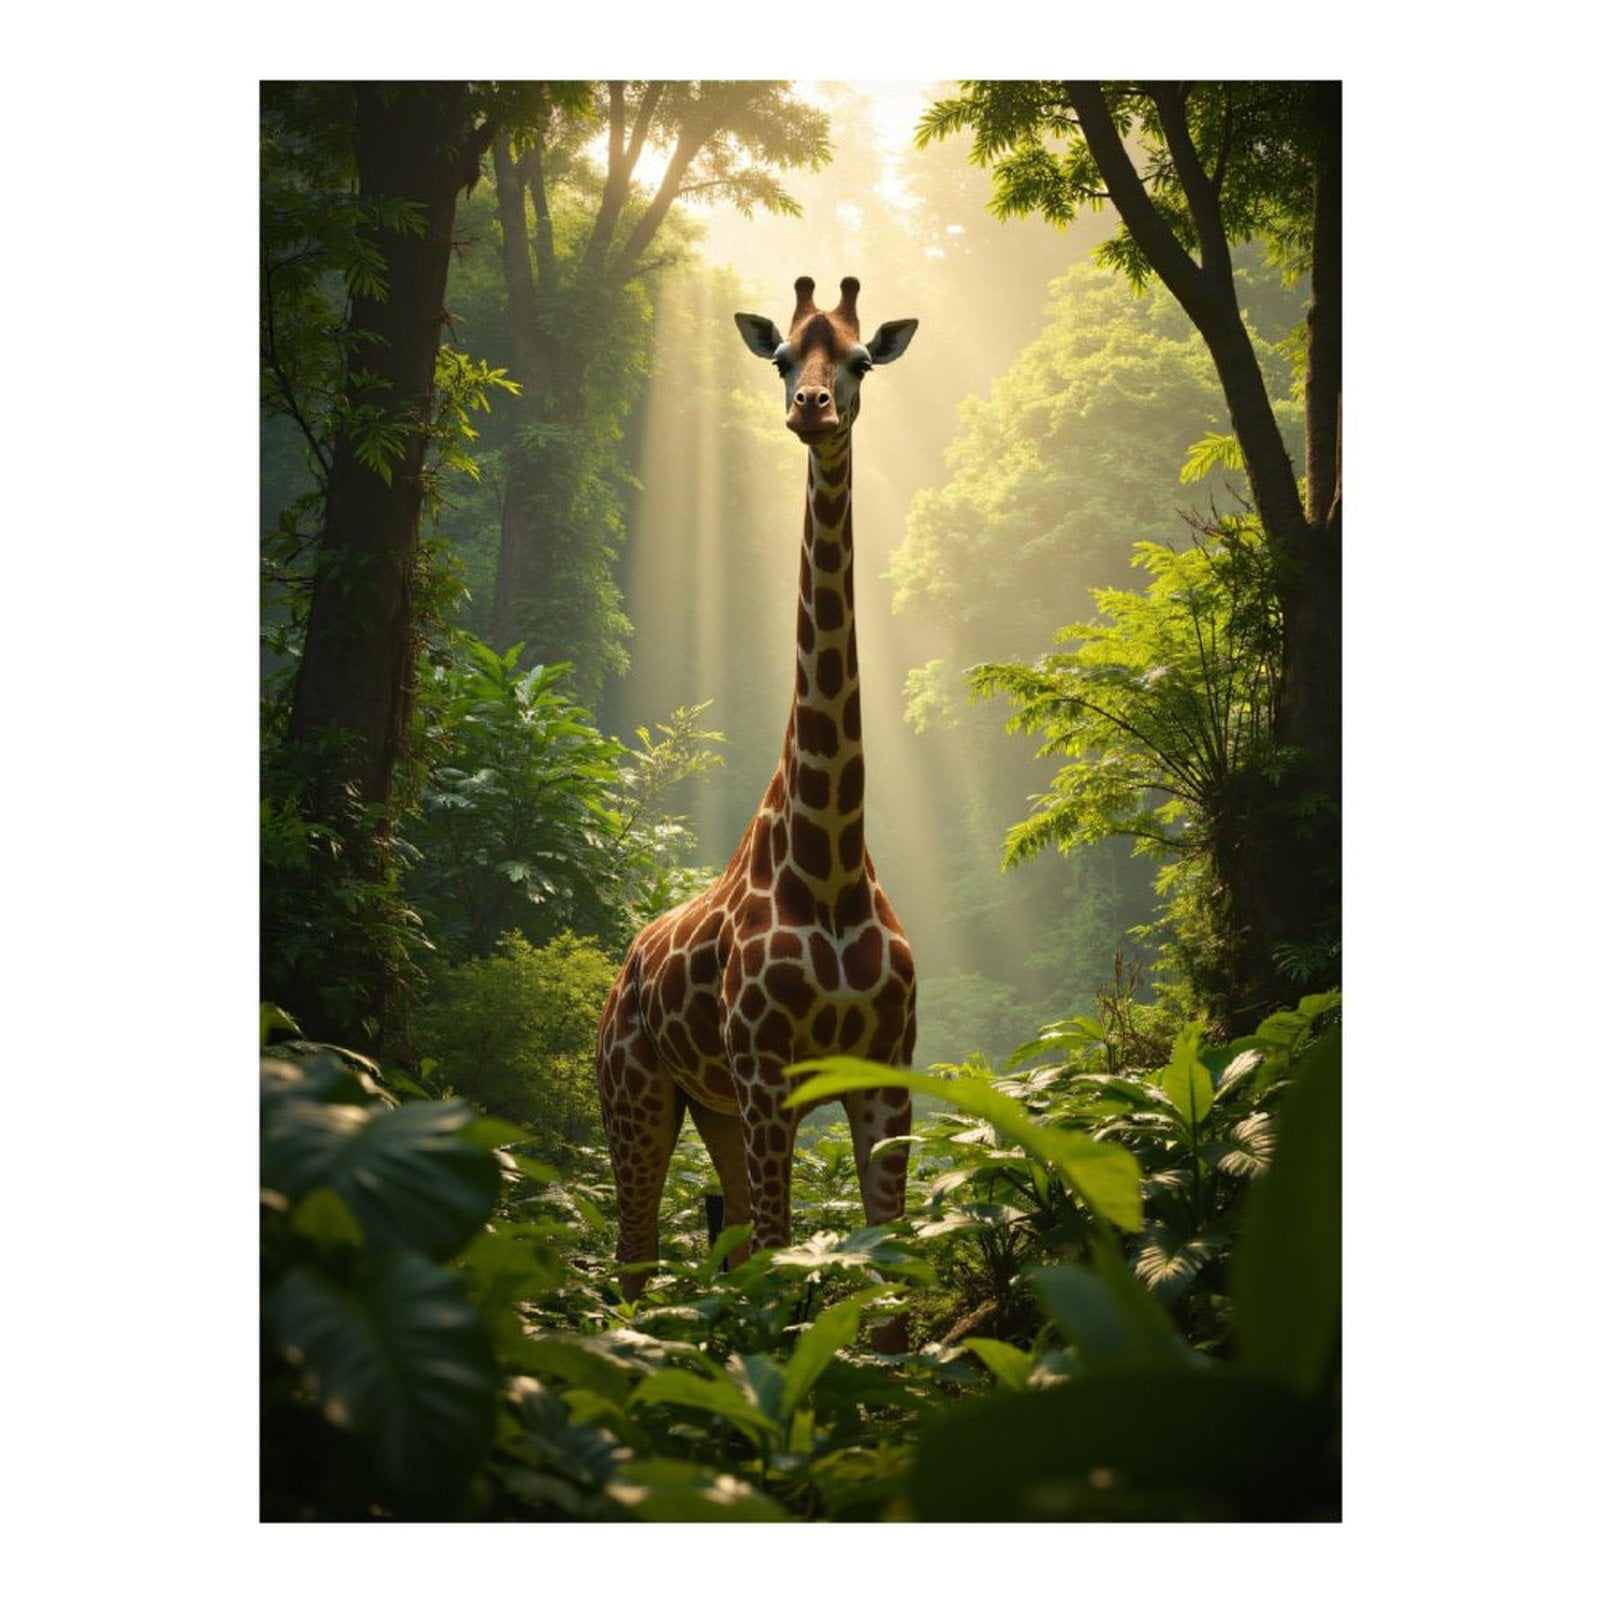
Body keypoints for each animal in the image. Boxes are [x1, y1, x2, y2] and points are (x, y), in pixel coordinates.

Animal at [595, 274, 920, 1310]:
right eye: (781, 358)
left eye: (858, 362)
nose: (811, 407)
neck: (830, 864)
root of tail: (626, 961)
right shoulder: (771, 1071)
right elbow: (783, 1265)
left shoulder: (885, 1072)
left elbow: (885, 1283)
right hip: (635, 1092)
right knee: (637, 1258)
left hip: (716, 1108)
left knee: (725, 1245)